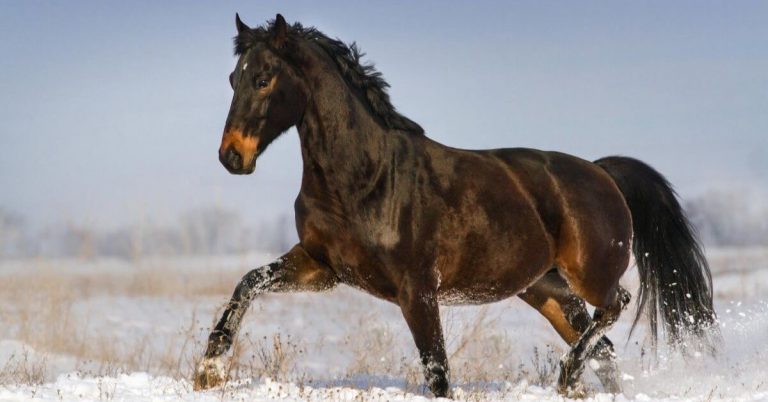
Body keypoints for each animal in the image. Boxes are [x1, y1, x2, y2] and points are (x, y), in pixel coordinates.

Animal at [194, 14, 719, 397]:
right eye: (233, 77)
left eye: (264, 79)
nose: (231, 156)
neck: (365, 179)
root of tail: (601, 172)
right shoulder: (322, 267)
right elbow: (249, 283)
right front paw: (208, 369)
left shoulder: (418, 290)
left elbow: (438, 373)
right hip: (547, 291)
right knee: (604, 348)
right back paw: (575, 382)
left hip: (587, 276)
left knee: (617, 306)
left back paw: (567, 375)